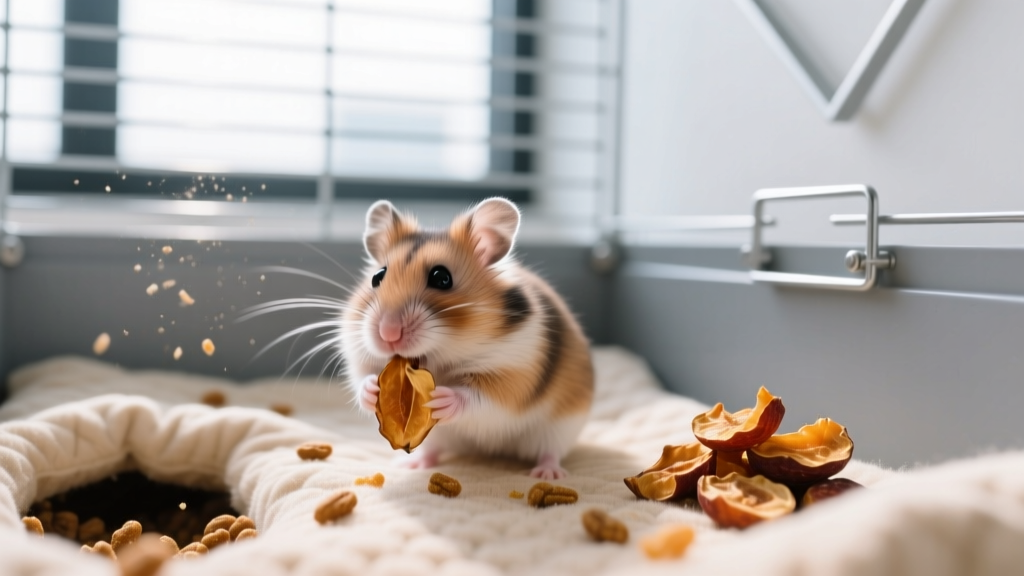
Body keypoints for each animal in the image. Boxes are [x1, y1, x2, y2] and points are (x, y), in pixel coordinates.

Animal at [340, 197, 594, 479]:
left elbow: (480, 398)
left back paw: (547, 474)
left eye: (442, 278)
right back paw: (411, 464)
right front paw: (373, 390)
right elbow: (362, 377)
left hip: (560, 427)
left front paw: (439, 399)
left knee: (550, 452)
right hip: (436, 437)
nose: (388, 334)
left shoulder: (515, 373)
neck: (445, 352)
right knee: (433, 450)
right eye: (377, 276)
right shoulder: (359, 356)